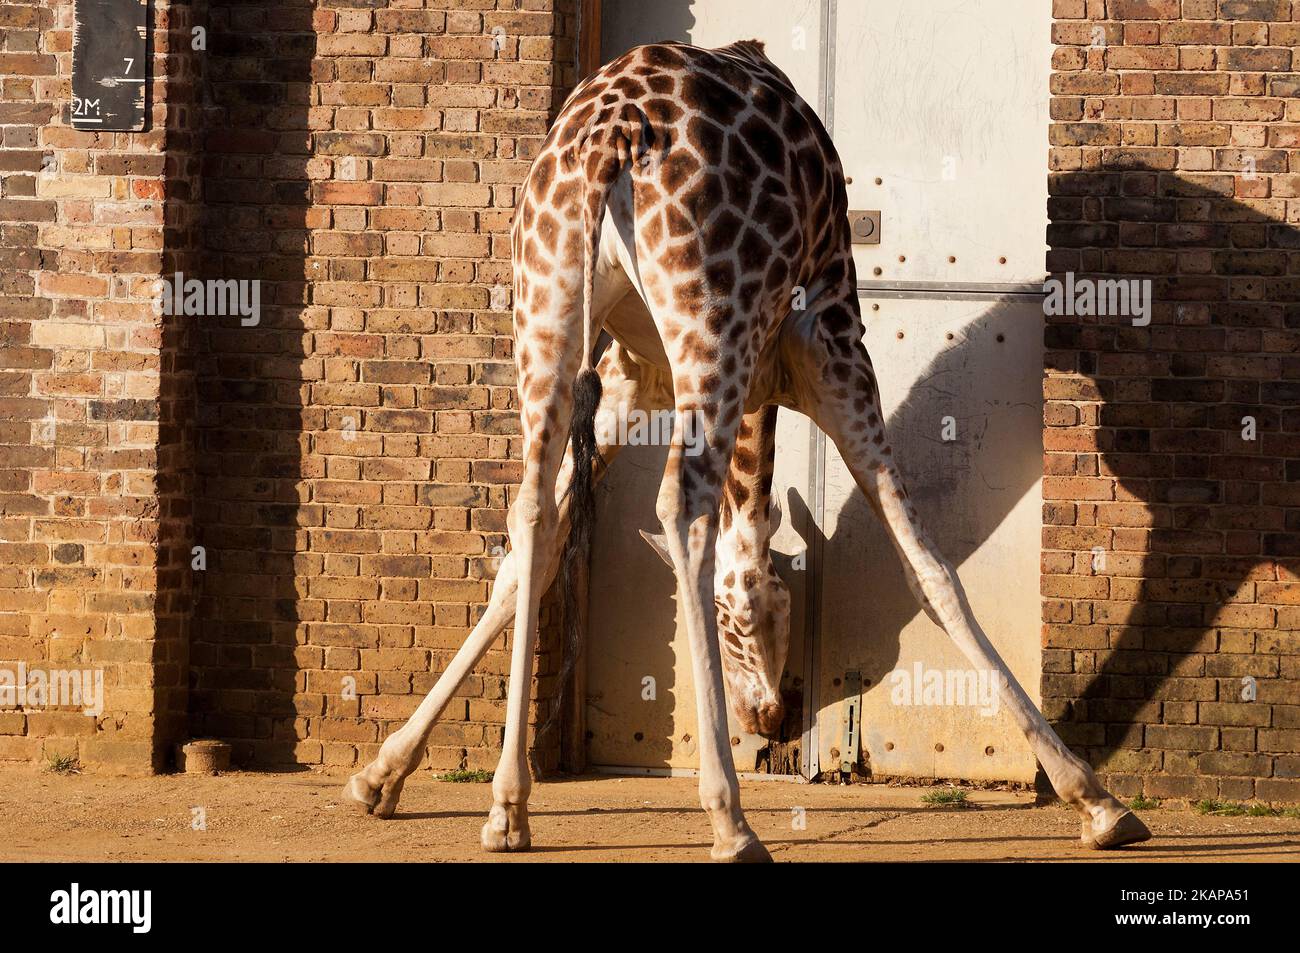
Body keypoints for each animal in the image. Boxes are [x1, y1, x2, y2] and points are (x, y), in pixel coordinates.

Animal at [344, 39, 1151, 860]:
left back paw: (509, 809)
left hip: (546, 311)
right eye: (740, 621)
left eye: (768, 612)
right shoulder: (832, 348)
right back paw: (729, 817)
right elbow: (931, 570)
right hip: (714, 326)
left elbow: (523, 565)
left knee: (534, 510)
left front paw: (384, 774)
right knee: (683, 505)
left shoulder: (631, 377)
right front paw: (1096, 800)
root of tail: (608, 137)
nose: (766, 717)